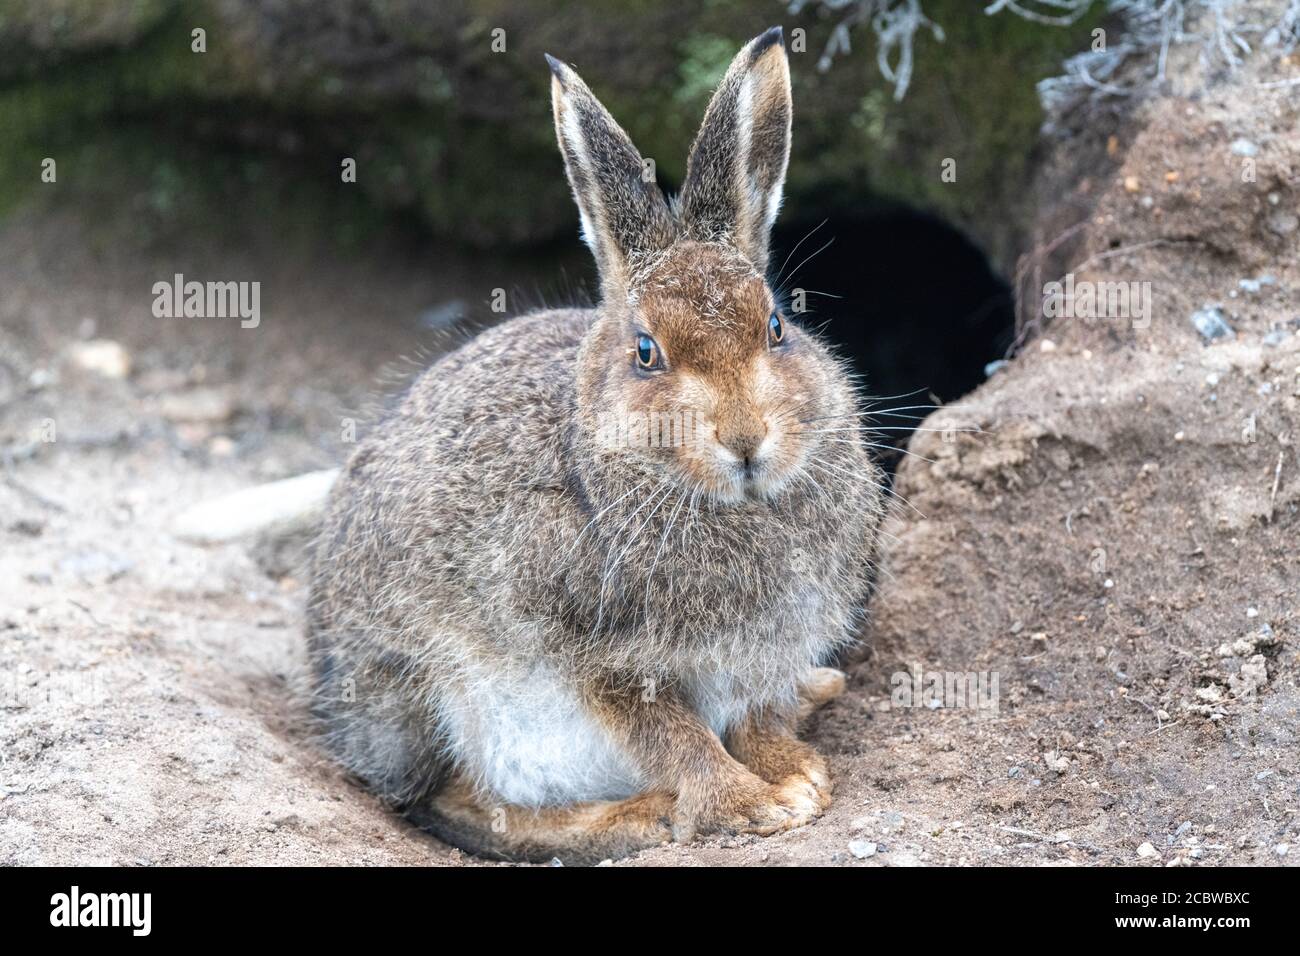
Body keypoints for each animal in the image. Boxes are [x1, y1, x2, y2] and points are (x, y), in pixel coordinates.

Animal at [306, 25, 886, 864]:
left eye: (777, 326)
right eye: (647, 353)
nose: (746, 439)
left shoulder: (756, 664)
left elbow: (748, 717)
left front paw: (796, 771)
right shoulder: (595, 660)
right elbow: (674, 735)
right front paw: (755, 804)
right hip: (436, 694)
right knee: (459, 803)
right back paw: (638, 817)